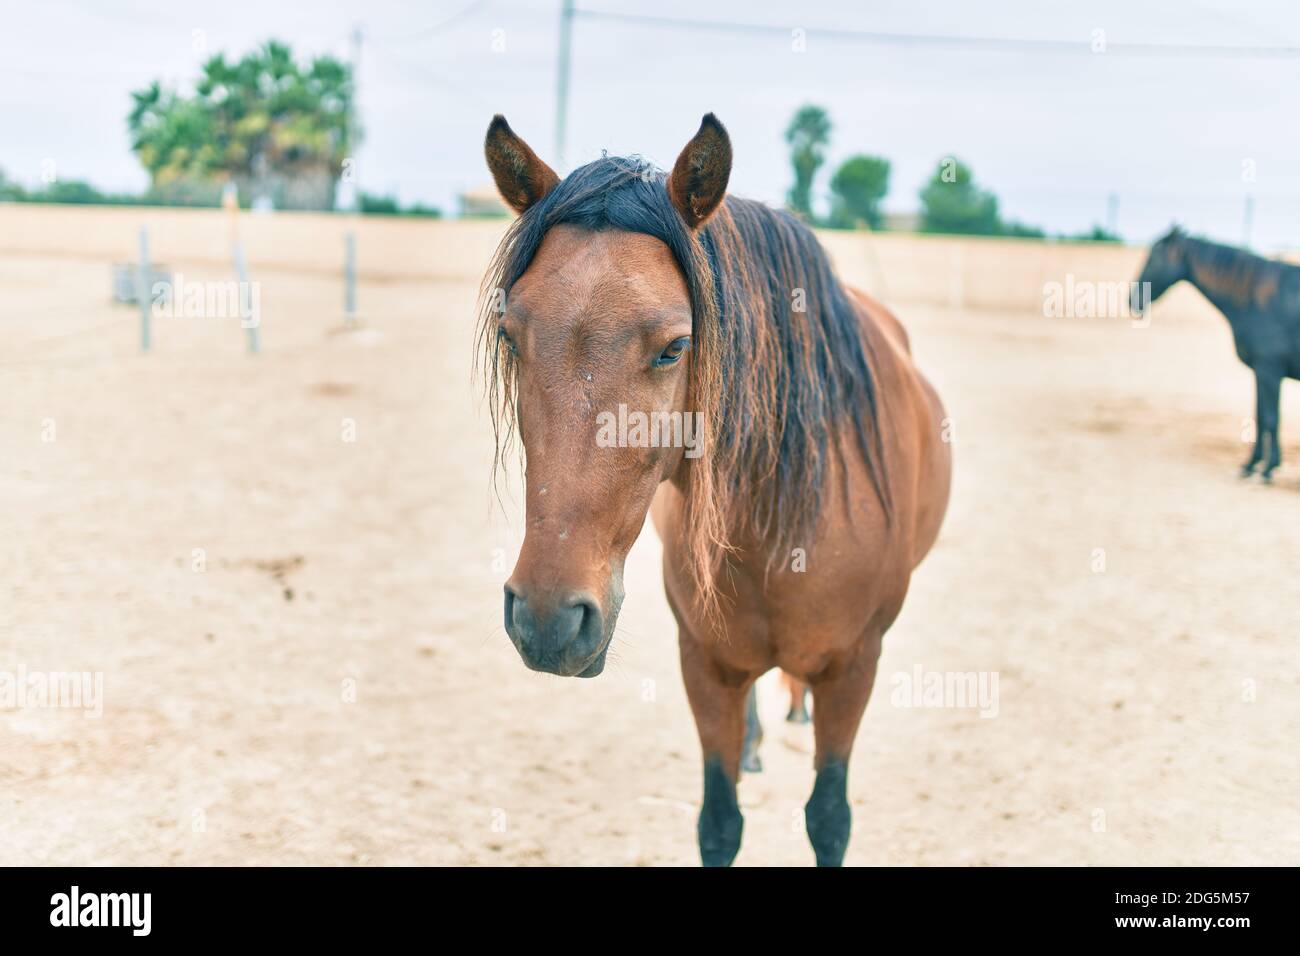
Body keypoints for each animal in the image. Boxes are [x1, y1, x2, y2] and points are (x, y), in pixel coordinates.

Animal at [477, 113, 952, 866]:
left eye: (674, 347)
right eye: (510, 337)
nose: (547, 619)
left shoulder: (854, 668)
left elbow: (829, 818)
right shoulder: (704, 664)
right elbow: (719, 822)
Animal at [1133, 226, 1300, 481]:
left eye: (1153, 259)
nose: (1132, 300)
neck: (1254, 299)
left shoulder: (1269, 371)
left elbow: (1271, 418)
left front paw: (1268, 468)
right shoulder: (1261, 373)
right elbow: (1260, 417)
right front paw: (1252, 465)